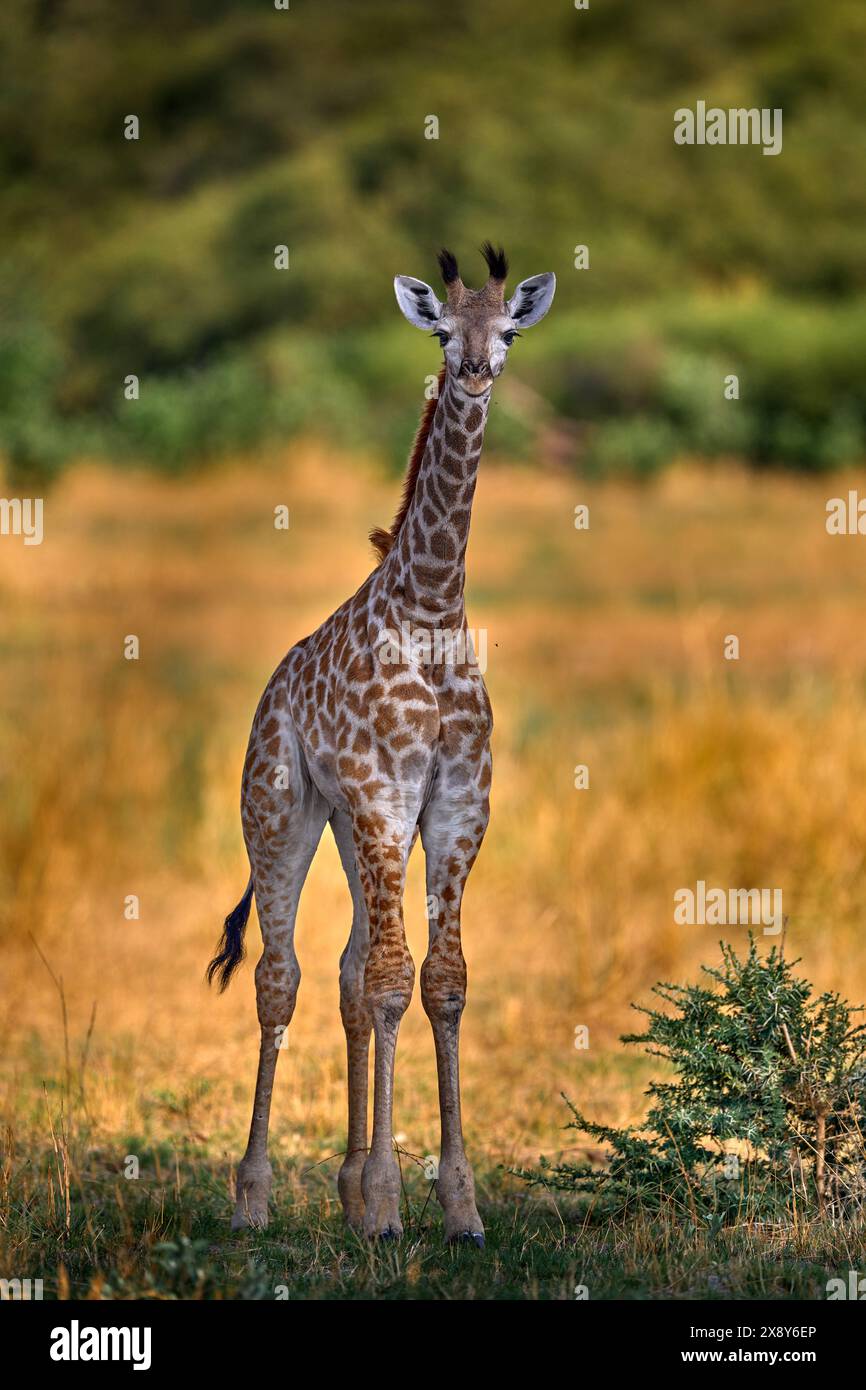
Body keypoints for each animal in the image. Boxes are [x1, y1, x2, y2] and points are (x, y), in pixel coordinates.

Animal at [208, 243, 556, 1244]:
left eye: (509, 329)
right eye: (442, 332)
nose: (474, 370)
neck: (433, 604)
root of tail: (272, 688)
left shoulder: (456, 804)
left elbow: (439, 982)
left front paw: (455, 1203)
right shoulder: (380, 790)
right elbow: (398, 981)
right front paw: (397, 1203)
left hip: (353, 827)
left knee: (345, 972)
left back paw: (348, 1186)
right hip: (282, 810)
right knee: (280, 975)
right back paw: (253, 1198)